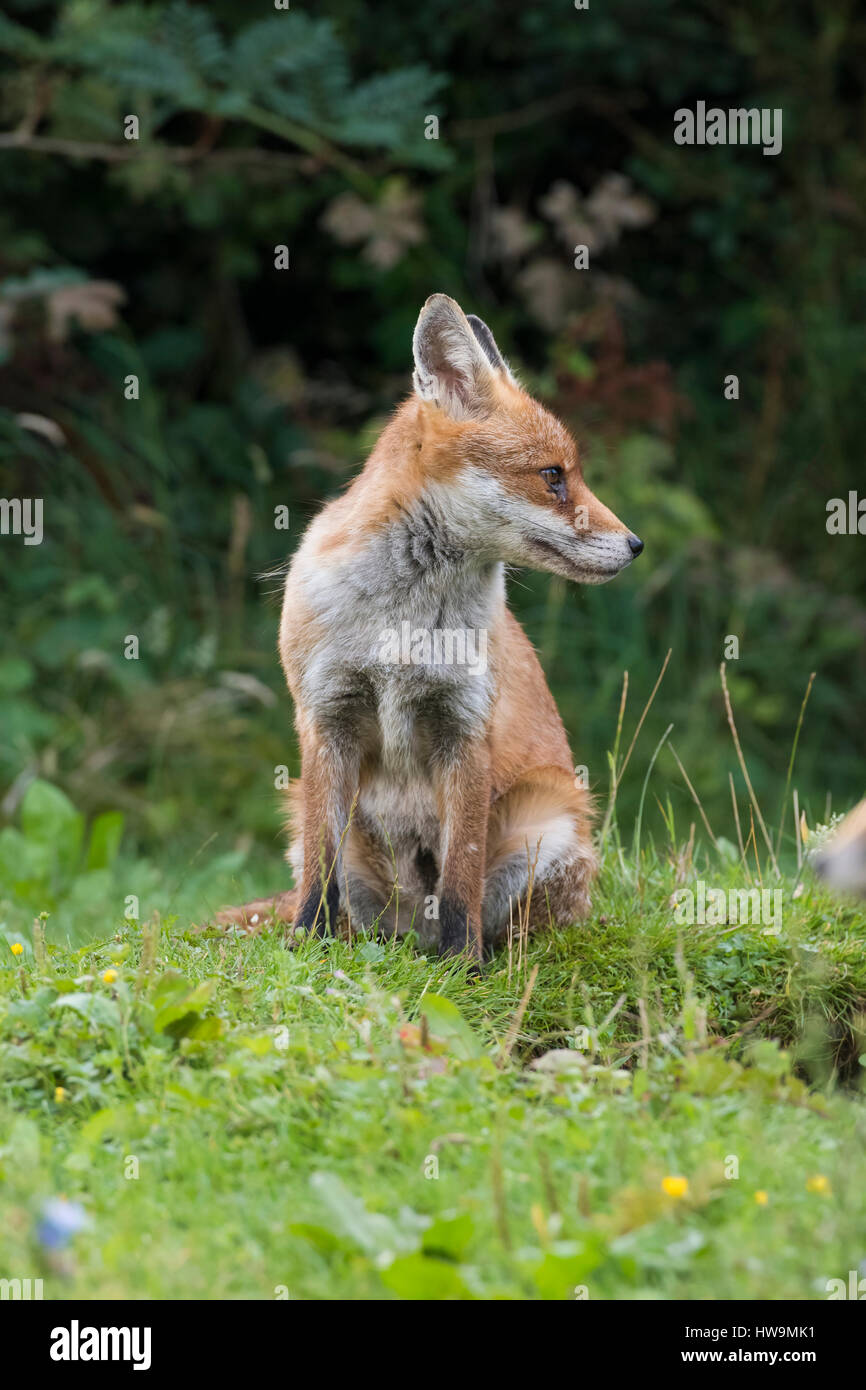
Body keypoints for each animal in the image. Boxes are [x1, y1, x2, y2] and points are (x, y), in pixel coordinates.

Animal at [215, 294, 644, 963]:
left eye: (570, 473)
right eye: (553, 475)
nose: (635, 545)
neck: (403, 627)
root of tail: (405, 934)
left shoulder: (464, 727)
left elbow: (461, 873)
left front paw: (463, 965)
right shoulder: (325, 717)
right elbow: (318, 874)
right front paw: (308, 946)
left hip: (551, 819)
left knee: (511, 921)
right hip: (315, 820)